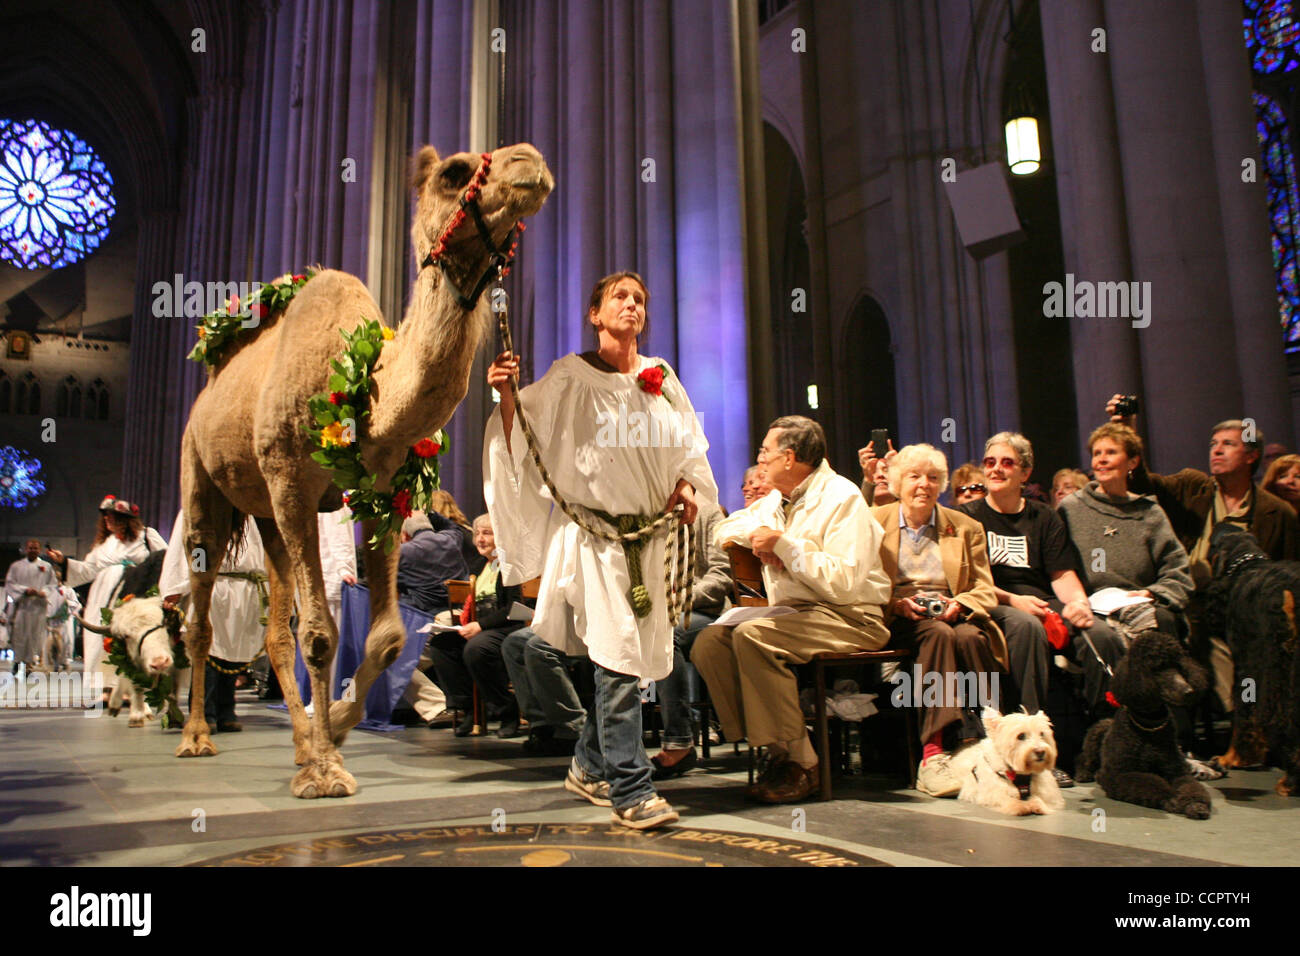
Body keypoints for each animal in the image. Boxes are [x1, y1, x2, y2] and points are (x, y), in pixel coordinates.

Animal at [178, 143, 553, 798]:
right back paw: (198, 736)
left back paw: (301, 742)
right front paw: (327, 770)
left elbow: (388, 634)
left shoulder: (383, 493)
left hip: (266, 515)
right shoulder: (293, 483)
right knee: (200, 617)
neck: (364, 392)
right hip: (203, 480)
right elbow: (323, 633)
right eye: (455, 172)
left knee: (276, 629)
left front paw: (334, 729)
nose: (528, 161)